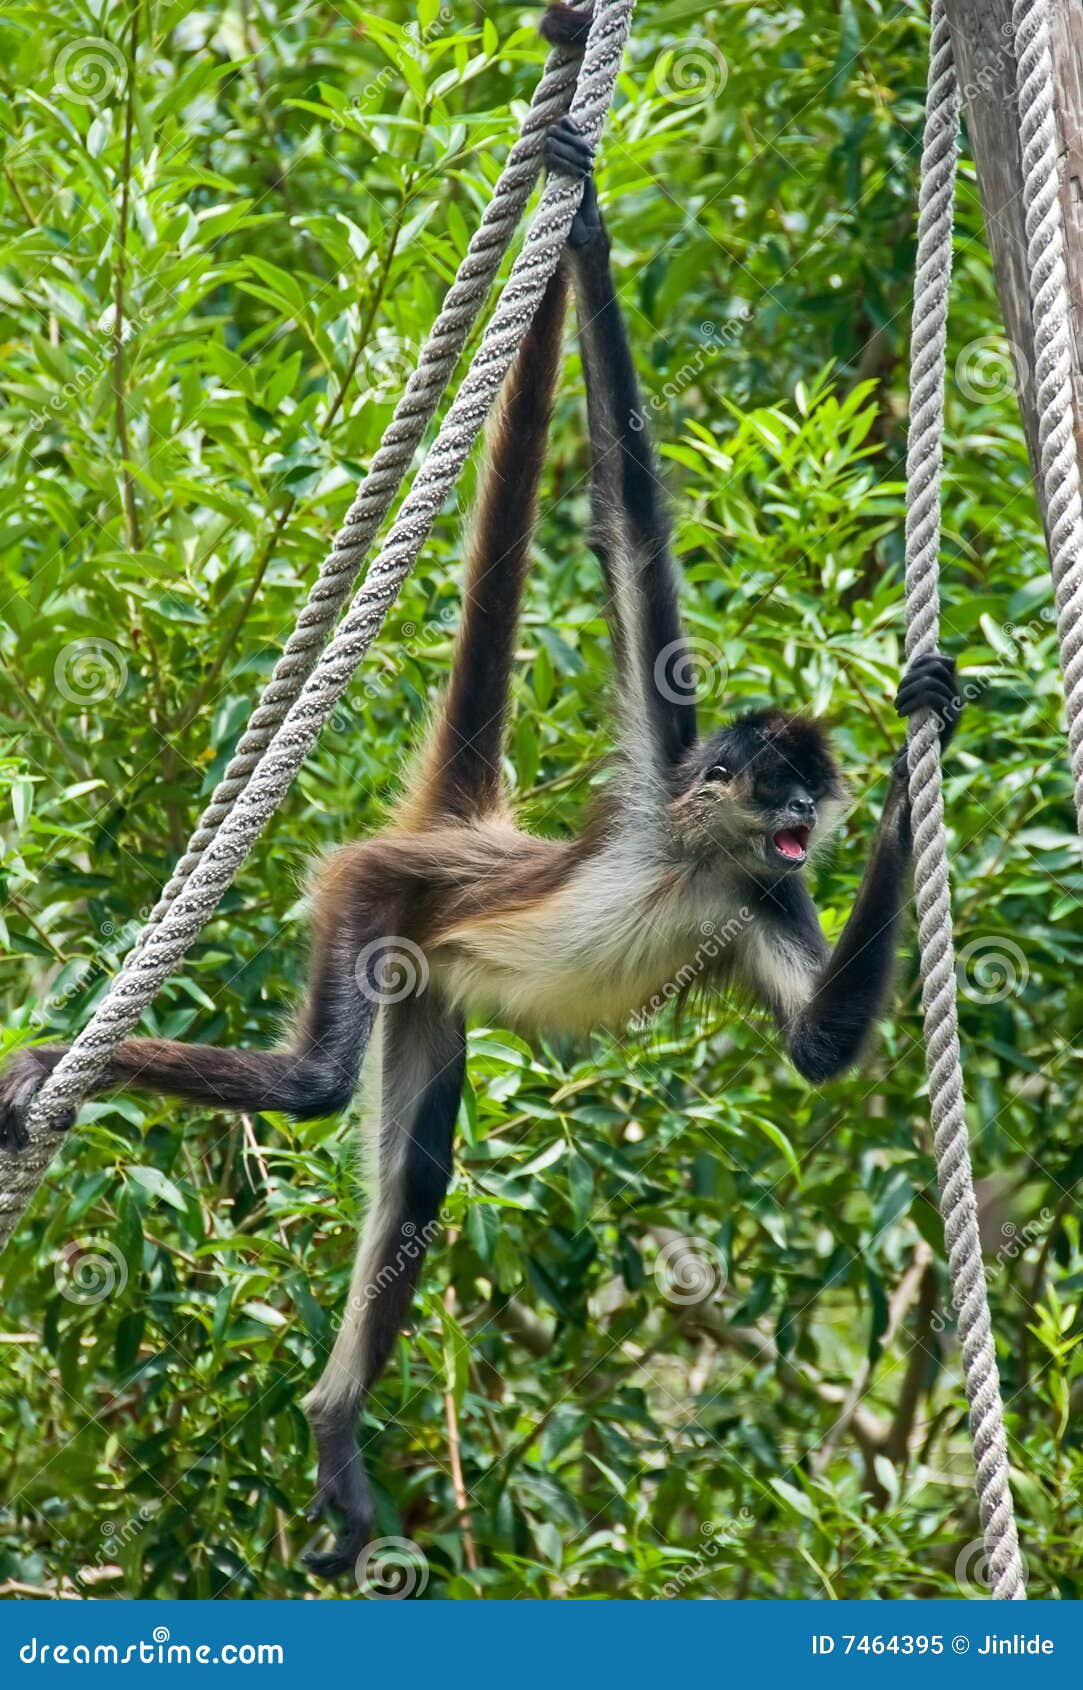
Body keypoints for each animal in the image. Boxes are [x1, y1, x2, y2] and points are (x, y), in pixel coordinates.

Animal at [0, 105, 963, 1573]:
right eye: (774, 791)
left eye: (812, 803)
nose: (805, 825)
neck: (700, 860)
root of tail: (464, 832)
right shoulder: (662, 776)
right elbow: (623, 512)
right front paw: (589, 230)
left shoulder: (764, 902)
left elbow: (813, 1044)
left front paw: (924, 739)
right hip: (371, 891)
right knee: (311, 1087)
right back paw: (54, 1065)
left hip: (426, 980)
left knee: (418, 1167)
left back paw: (336, 1429)